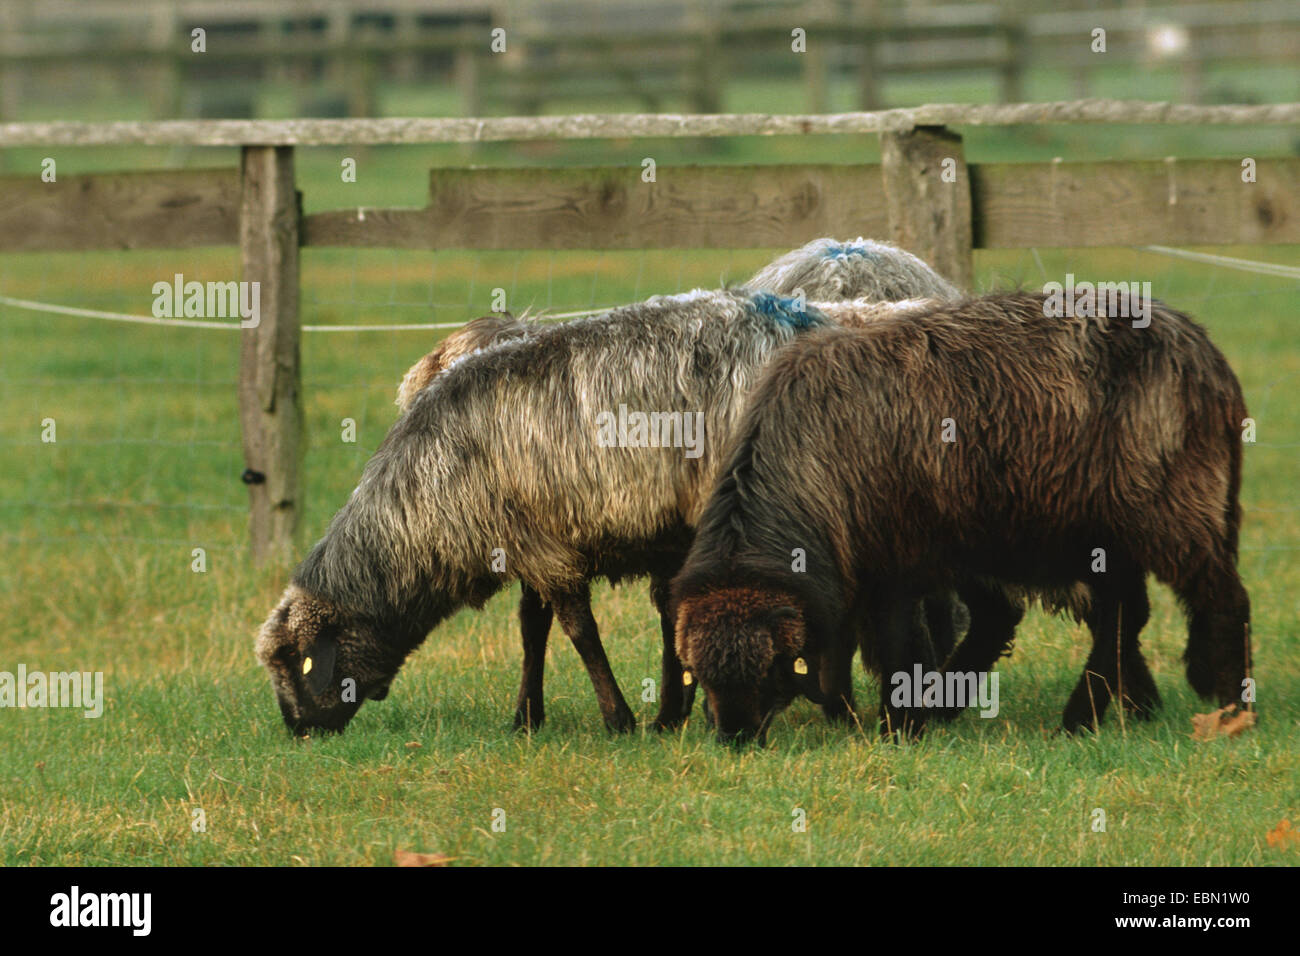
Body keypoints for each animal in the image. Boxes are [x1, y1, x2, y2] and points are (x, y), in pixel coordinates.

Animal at [671, 291, 1251, 744]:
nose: (734, 739)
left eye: (770, 669)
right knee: (1124, 613)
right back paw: (1080, 719)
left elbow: (898, 645)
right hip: (1100, 535)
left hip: (1171, 509)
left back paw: (1230, 712)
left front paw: (901, 727)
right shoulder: (884, 563)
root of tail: (1207, 353)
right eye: (698, 674)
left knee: (1223, 598)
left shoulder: (899, 563)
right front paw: (906, 712)